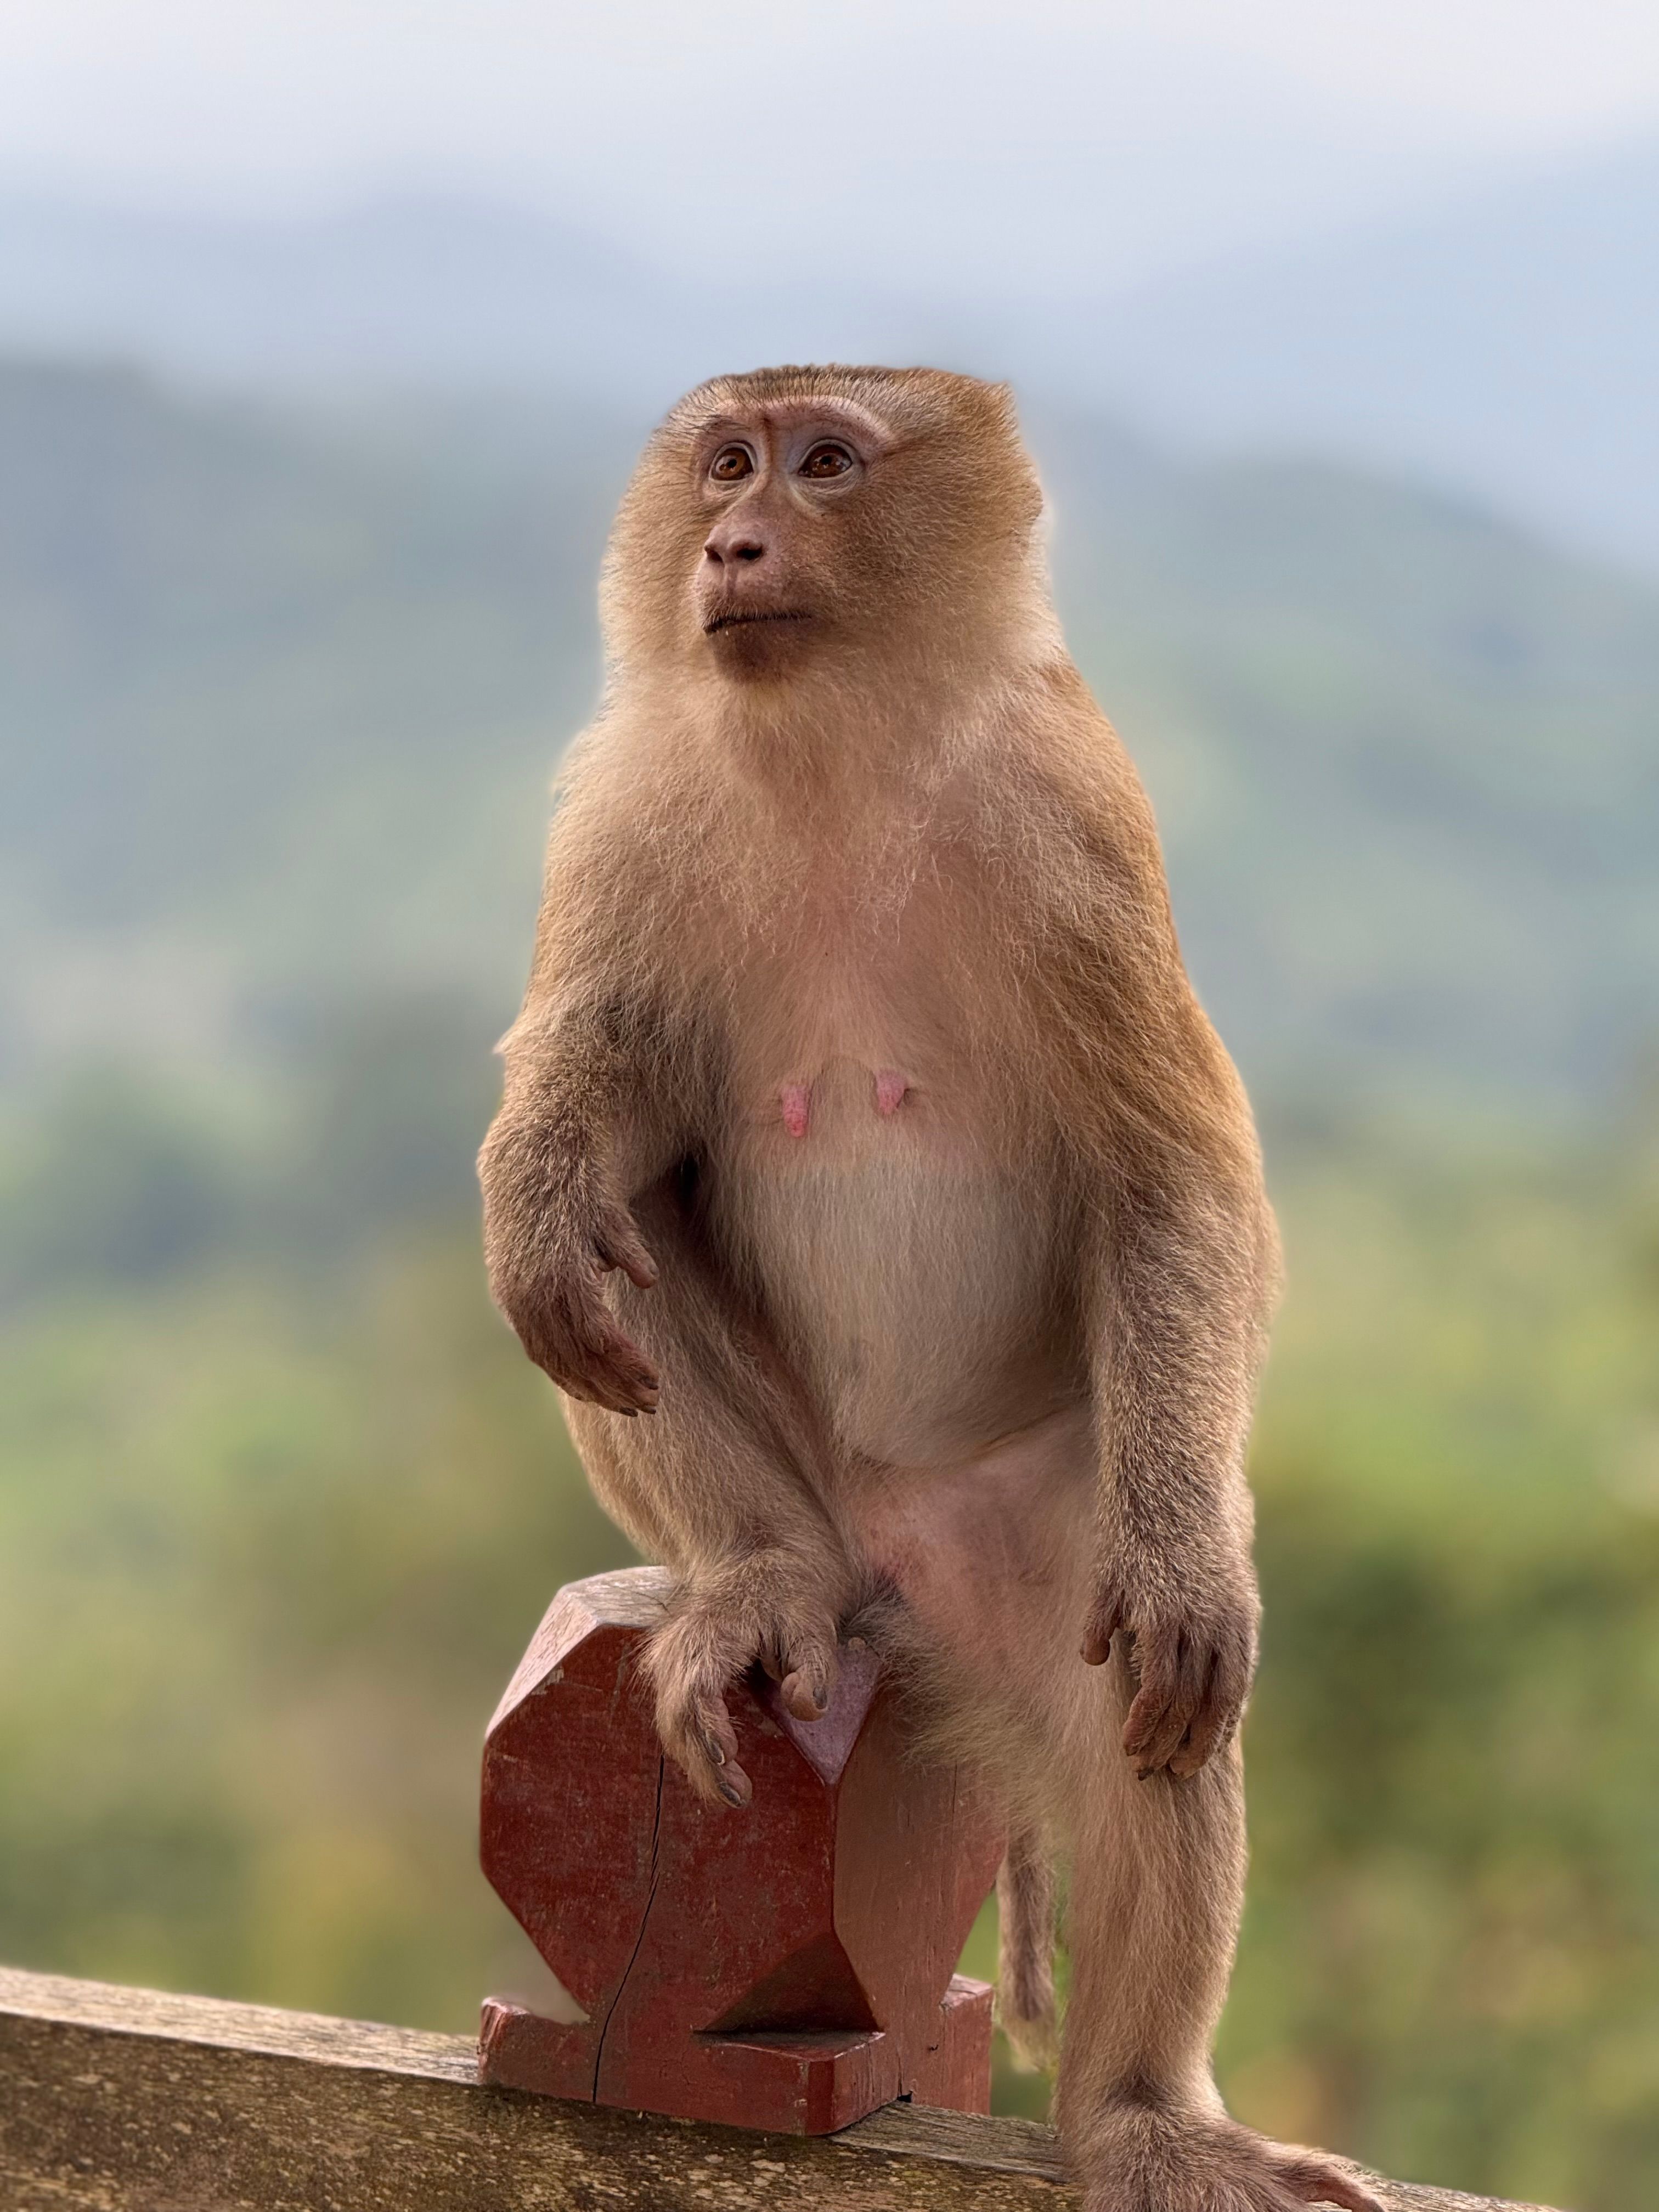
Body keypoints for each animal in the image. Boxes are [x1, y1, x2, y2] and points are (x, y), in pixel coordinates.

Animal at [478, 365, 1383, 2212]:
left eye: (827, 463)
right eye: (728, 464)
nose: (734, 543)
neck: (832, 750)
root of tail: (897, 1588)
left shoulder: (1074, 815)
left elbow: (1174, 1180)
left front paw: (1193, 1566)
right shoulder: (622, 809)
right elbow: (596, 1104)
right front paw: (536, 1183)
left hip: (1045, 1540)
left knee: (1141, 1723)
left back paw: (1138, 2112)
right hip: (822, 1510)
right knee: (618, 1254)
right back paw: (763, 1581)